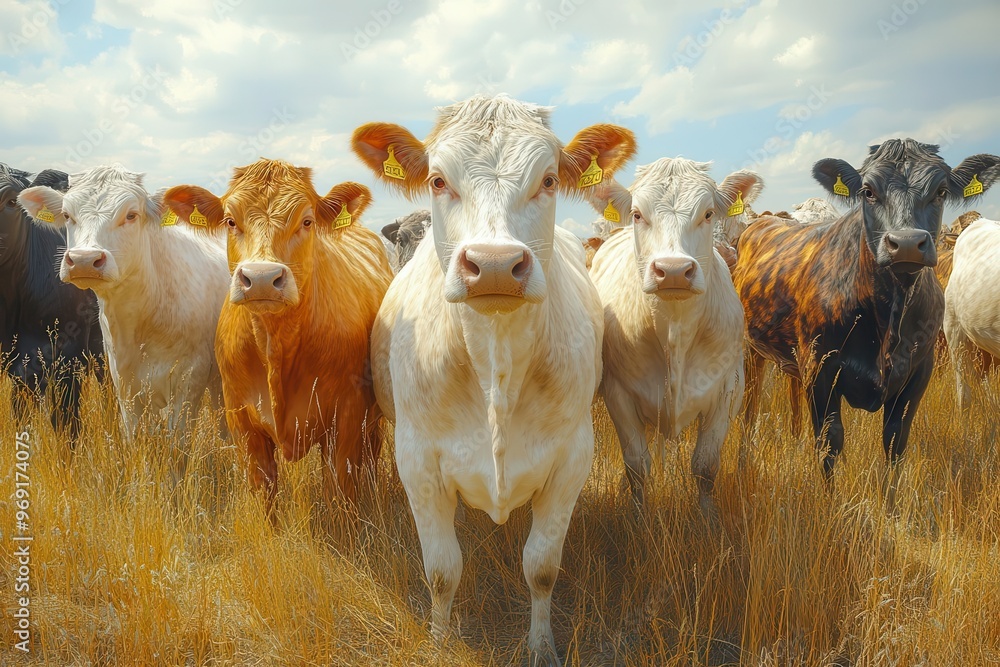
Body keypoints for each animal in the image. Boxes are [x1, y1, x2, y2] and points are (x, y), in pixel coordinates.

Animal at [162, 160, 393, 510]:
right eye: (231, 221)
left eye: (307, 221)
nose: (261, 278)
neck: (275, 344)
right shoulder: (241, 422)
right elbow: (263, 497)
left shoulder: (346, 421)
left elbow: (339, 497)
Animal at [351, 94, 636, 665]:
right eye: (438, 180)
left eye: (548, 179)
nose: (496, 265)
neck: (495, 370)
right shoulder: (417, 460)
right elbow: (442, 571)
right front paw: (439, 642)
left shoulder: (572, 458)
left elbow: (541, 568)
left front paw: (541, 646)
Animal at [586, 160, 763, 512]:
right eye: (637, 214)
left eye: (708, 214)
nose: (673, 271)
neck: (674, 332)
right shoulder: (618, 392)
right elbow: (637, 465)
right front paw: (638, 513)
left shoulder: (728, 389)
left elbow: (706, 465)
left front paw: (708, 516)